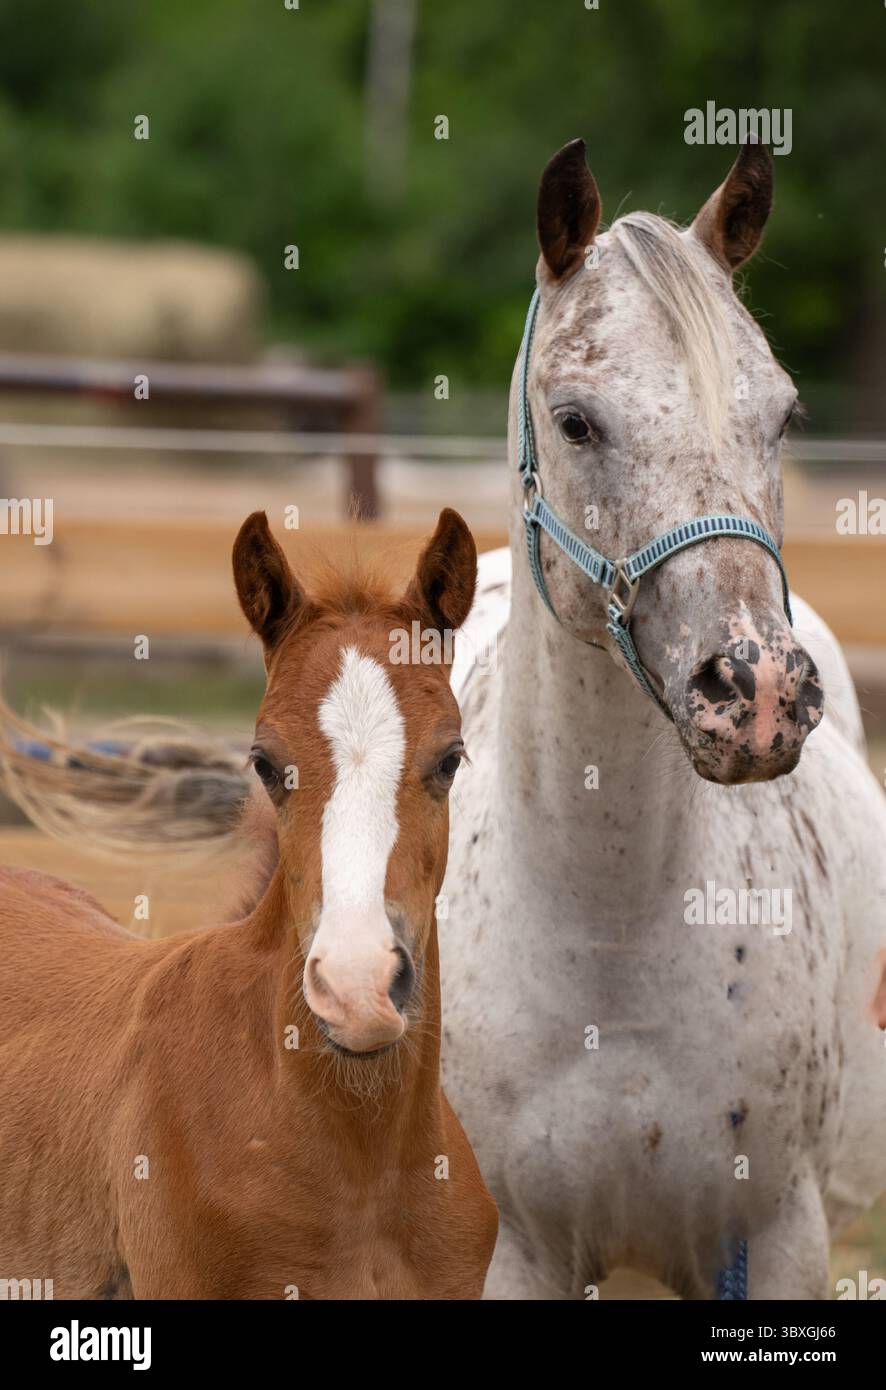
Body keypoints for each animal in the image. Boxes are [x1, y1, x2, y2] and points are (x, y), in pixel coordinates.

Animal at [440, 139, 886, 1299]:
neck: (610, 930)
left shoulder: (773, 1235)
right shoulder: (518, 1253)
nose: (759, 692)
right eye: (576, 421)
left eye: (784, 415)